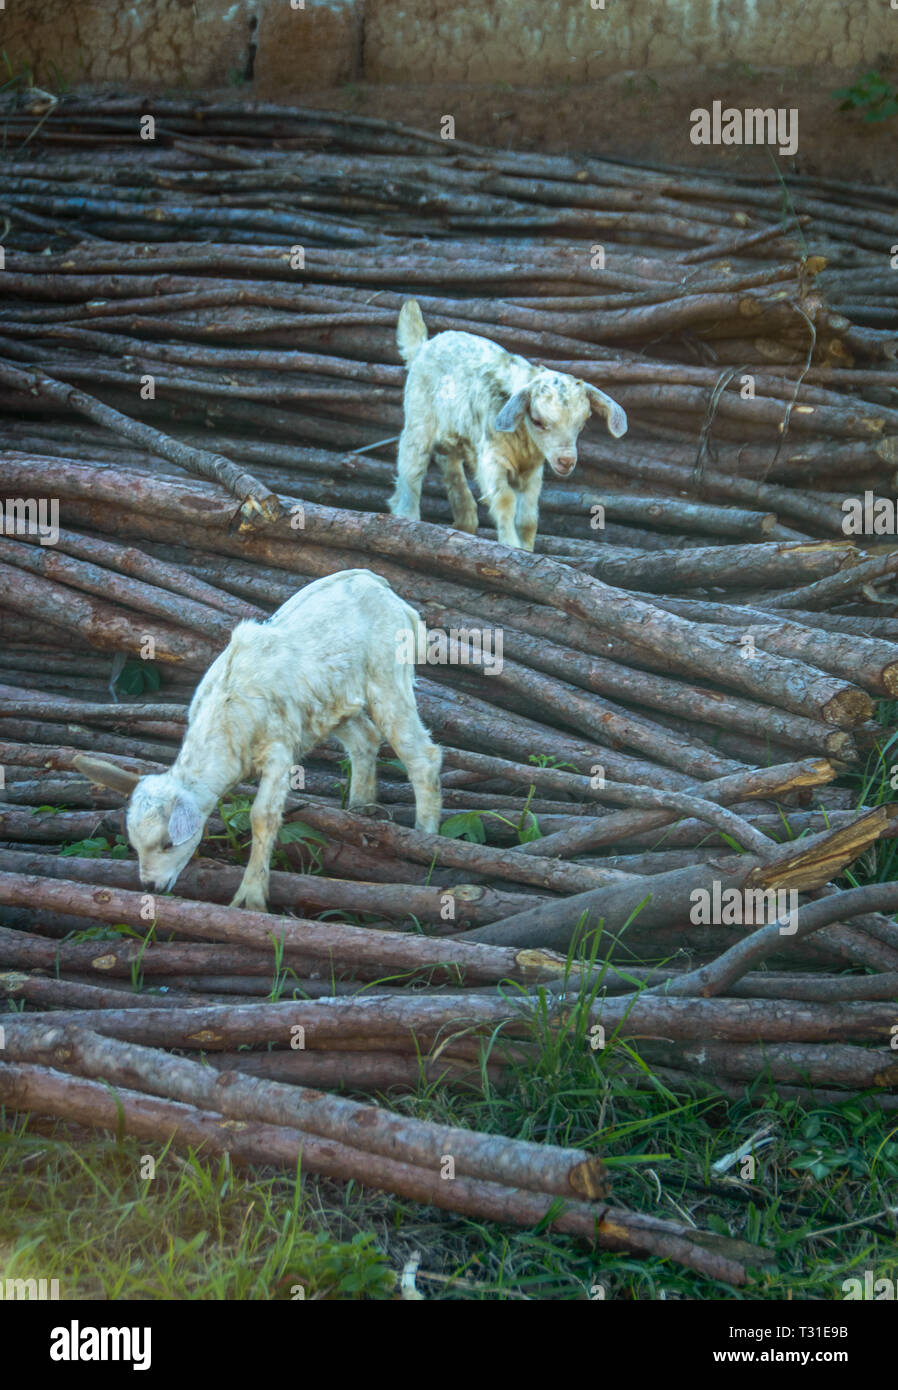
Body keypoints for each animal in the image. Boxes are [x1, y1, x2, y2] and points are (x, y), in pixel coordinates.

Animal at [74, 570, 442, 912]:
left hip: (387, 673)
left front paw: (251, 896)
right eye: (136, 845)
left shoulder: (279, 749)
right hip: (333, 702)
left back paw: (425, 837)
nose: (150, 886)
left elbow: (261, 816)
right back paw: (360, 809)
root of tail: (379, 584)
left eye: (167, 843)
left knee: (423, 755)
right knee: (365, 738)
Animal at [388, 299, 627, 550]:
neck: (524, 443)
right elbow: (505, 499)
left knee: (449, 464)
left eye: (582, 424)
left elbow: (529, 517)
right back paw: (407, 516)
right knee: (411, 468)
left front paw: (527, 549)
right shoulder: (492, 458)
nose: (566, 461)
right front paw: (511, 544)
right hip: (418, 421)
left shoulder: (533, 472)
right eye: (538, 421)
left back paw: (465, 521)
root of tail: (422, 347)